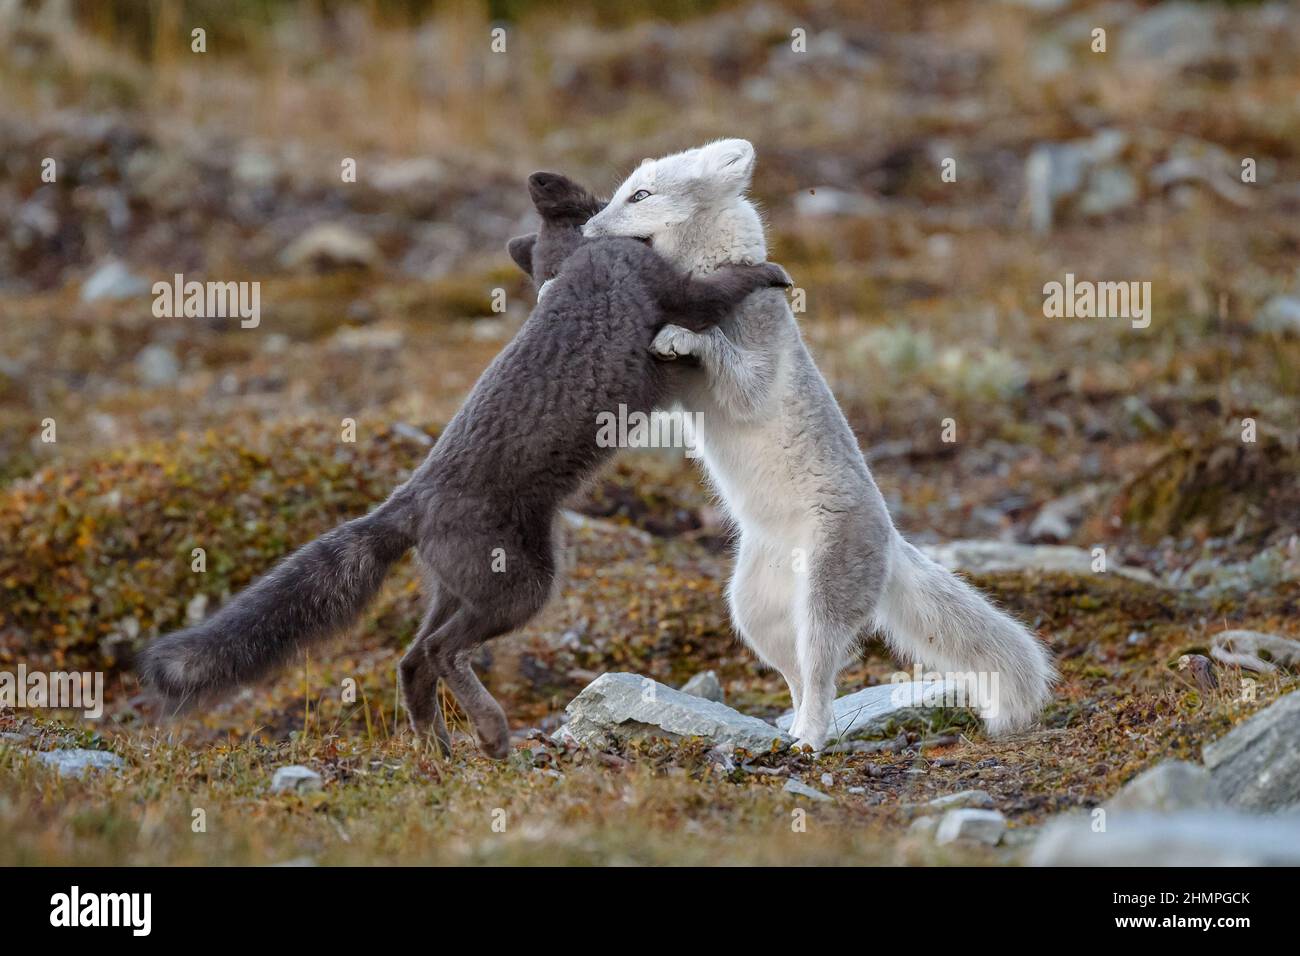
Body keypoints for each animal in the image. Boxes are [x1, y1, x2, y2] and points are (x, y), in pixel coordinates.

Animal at [136, 171, 791, 758]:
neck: (577, 259)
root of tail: (409, 500)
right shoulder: (677, 294)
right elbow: (722, 288)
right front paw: (772, 275)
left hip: (459, 591)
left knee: (409, 659)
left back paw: (439, 746)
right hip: (523, 587)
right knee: (439, 652)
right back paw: (493, 736)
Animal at [581, 139, 1056, 749]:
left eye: (640, 195)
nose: (587, 230)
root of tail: (893, 540)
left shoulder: (759, 358)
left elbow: (735, 372)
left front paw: (684, 334)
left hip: (824, 595)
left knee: (826, 670)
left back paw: (810, 740)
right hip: (752, 610)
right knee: (795, 674)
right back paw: (784, 733)